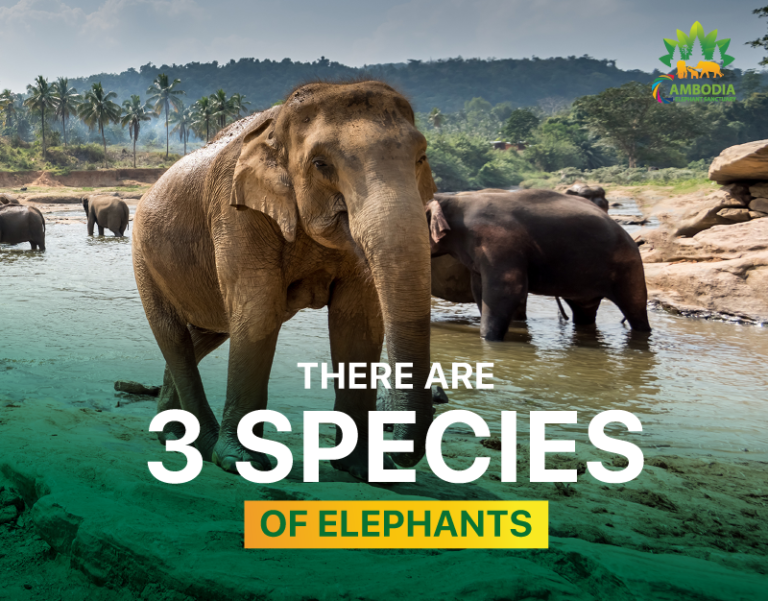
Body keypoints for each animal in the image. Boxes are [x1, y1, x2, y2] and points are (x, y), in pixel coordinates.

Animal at [133, 80, 437, 481]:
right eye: (321, 164)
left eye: (420, 157)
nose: (397, 447)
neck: (279, 125)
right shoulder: (236, 211)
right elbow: (260, 312)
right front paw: (242, 462)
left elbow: (358, 323)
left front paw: (367, 470)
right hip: (143, 259)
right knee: (174, 335)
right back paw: (199, 444)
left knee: (209, 333)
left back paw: (172, 434)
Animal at [426, 190, 651, 341]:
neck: (453, 200)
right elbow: (479, 289)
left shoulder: (498, 242)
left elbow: (507, 289)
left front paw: (489, 339)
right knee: (584, 312)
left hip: (628, 265)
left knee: (635, 308)